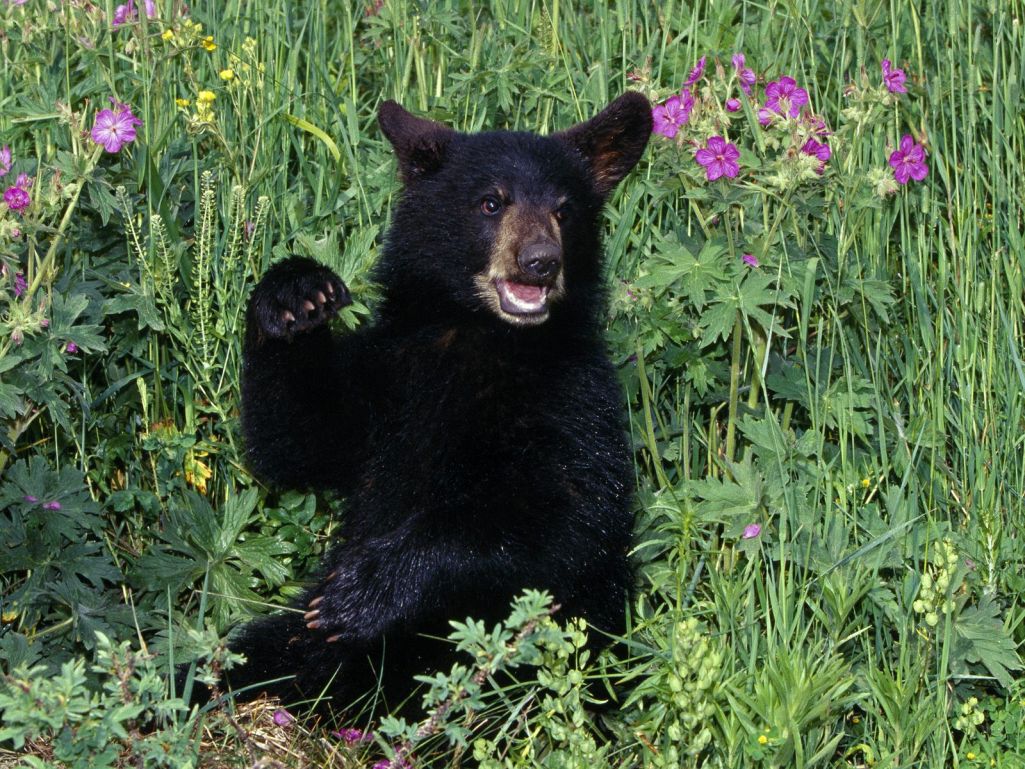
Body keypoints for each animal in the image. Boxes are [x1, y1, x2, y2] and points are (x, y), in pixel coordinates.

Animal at [181, 93, 651, 721]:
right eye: (491, 201)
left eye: (565, 210)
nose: (540, 262)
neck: (479, 336)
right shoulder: (389, 377)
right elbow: (297, 438)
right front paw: (294, 294)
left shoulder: (575, 400)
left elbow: (564, 519)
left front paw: (365, 590)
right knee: (253, 654)